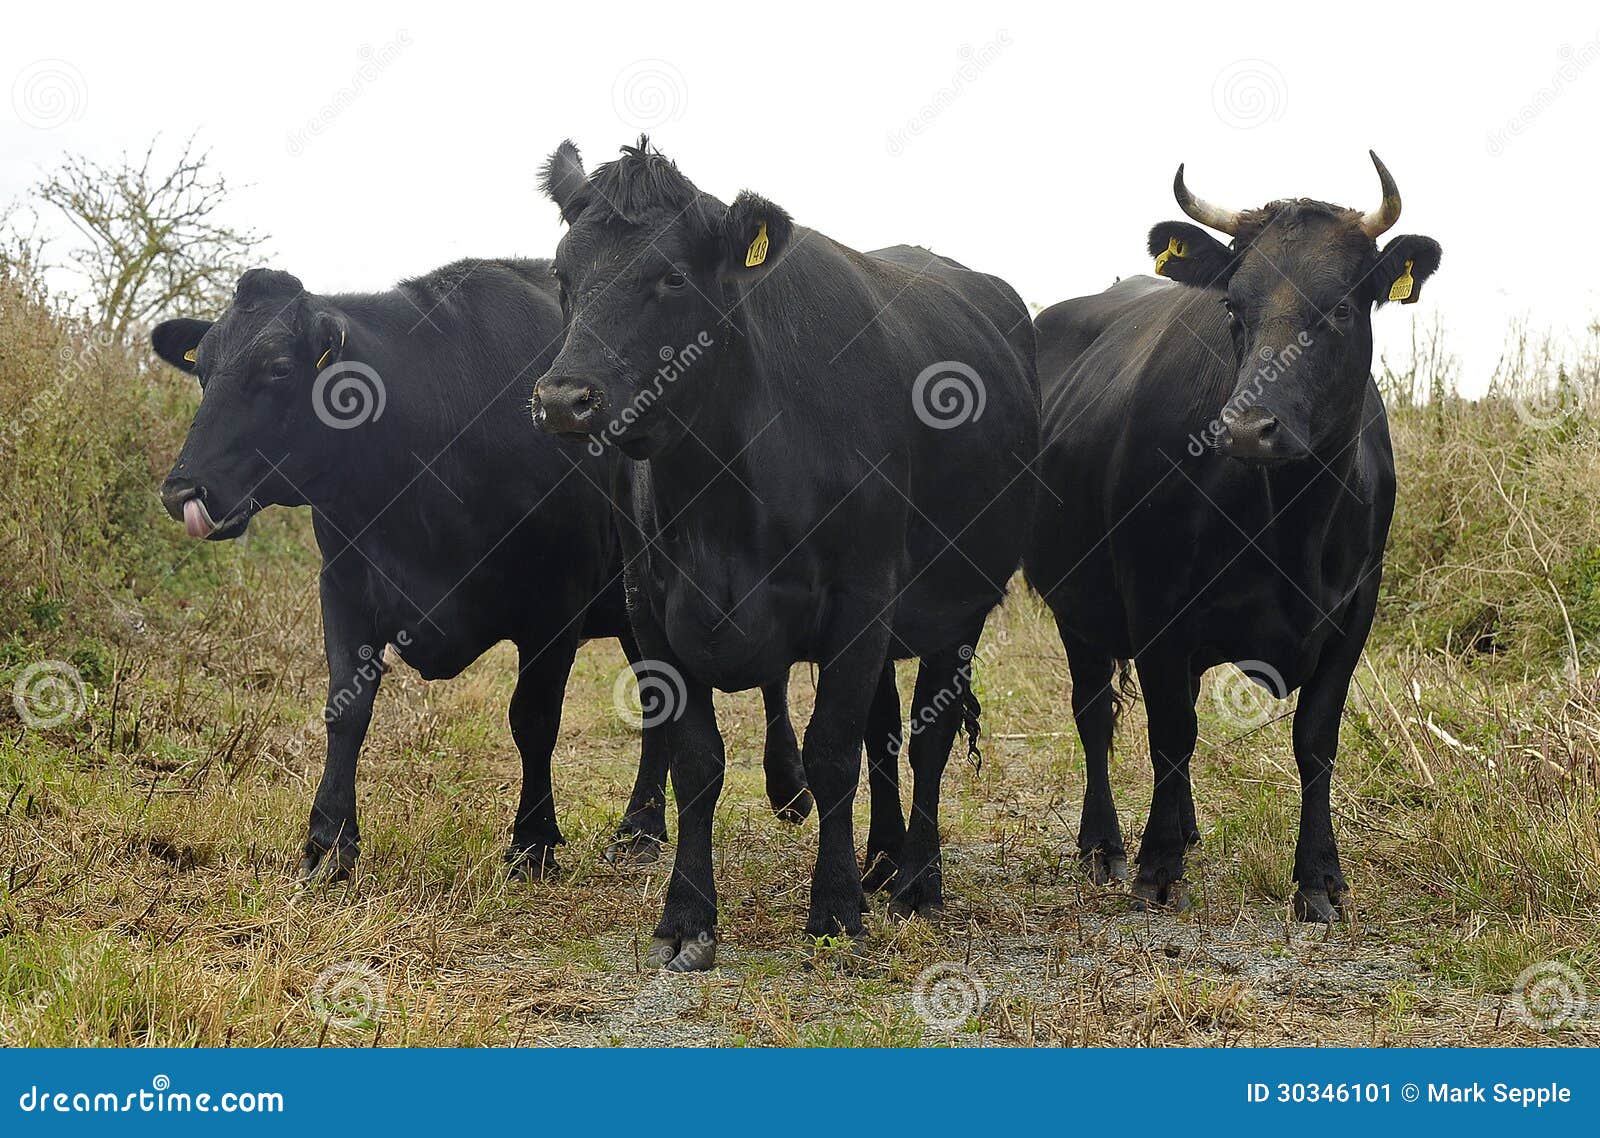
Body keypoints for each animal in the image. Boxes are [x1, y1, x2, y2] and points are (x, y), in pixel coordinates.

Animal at [150, 260, 809, 883]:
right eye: (204, 370)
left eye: (280, 368)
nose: (183, 491)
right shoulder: (343, 587)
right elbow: (345, 710)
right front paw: (329, 843)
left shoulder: (553, 606)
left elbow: (534, 720)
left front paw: (534, 843)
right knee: (657, 703)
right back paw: (639, 828)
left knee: (764, 676)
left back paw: (788, 788)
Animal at [531, 138, 1039, 971]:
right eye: (562, 276)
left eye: (673, 276)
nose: (563, 400)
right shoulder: (654, 608)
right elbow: (697, 760)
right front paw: (687, 915)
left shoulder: (863, 599)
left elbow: (832, 752)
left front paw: (833, 907)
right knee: (885, 733)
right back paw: (881, 859)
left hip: (958, 607)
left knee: (925, 742)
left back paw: (916, 880)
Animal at [1024, 153, 1440, 921]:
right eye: (1232, 308)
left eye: (1340, 308)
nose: (1248, 428)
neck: (1292, 526)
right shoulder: (1154, 602)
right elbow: (1169, 734)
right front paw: (1158, 867)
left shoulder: (1355, 609)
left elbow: (1315, 738)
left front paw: (1320, 878)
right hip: (1077, 601)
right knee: (1096, 715)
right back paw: (1104, 844)